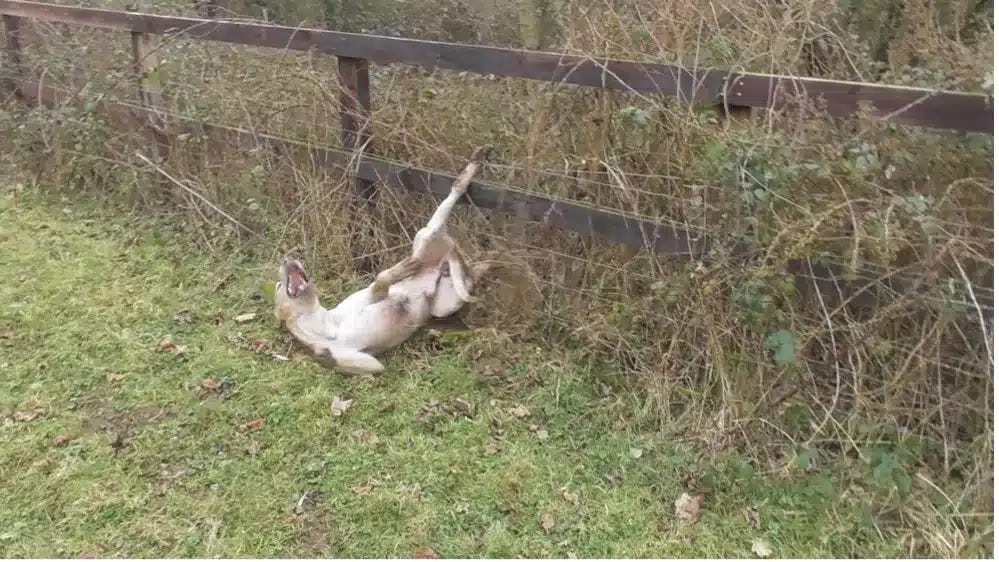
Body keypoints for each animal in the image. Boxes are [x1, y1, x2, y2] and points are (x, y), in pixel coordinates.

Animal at [273, 145, 493, 374]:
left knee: (455, 193)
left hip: (427, 235)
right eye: (279, 286)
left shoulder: (370, 296)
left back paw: (475, 163)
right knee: (467, 275)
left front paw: (396, 272)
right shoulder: (371, 363)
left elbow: (379, 280)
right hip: (445, 304)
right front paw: (321, 356)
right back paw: (475, 266)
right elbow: (343, 360)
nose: (287, 259)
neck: (325, 326)